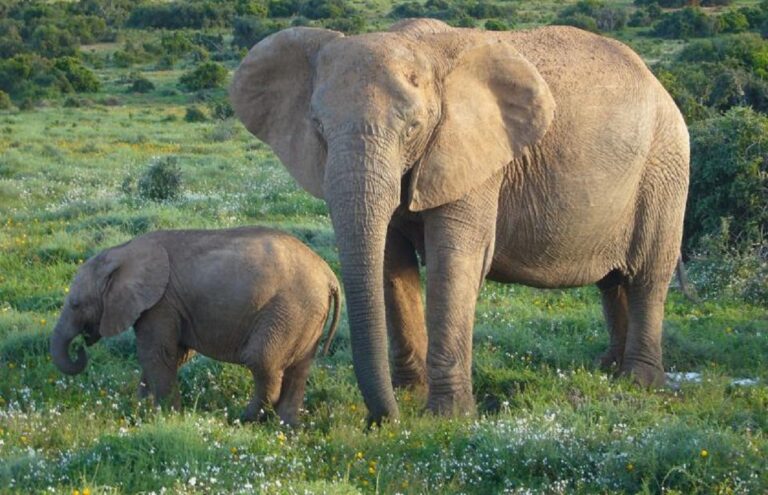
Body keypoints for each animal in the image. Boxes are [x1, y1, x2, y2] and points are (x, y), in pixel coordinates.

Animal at [50, 227, 341, 425]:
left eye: (75, 304)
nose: (81, 347)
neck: (122, 251)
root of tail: (329, 275)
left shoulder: (160, 304)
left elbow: (157, 354)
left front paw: (165, 417)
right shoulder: (170, 306)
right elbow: (174, 355)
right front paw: (141, 409)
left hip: (290, 309)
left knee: (262, 361)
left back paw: (240, 419)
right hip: (307, 315)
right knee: (299, 369)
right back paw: (285, 428)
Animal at [230, 19, 690, 423]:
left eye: (413, 127)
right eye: (319, 127)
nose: (383, 421)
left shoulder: (475, 156)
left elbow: (455, 262)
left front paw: (446, 416)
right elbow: (391, 265)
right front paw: (410, 395)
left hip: (665, 167)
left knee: (648, 275)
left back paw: (639, 381)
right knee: (612, 282)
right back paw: (607, 369)